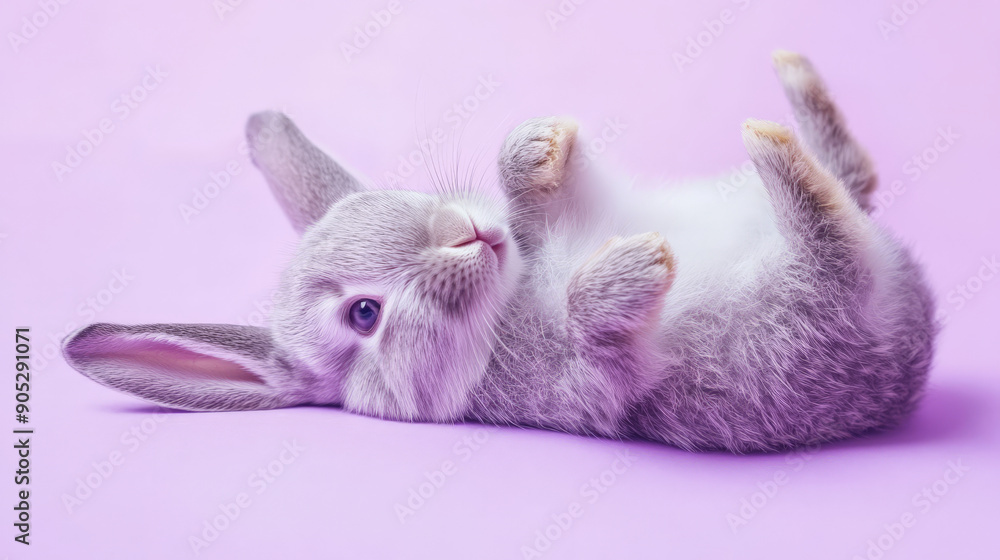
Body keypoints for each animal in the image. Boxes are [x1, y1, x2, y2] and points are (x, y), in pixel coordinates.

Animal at [63, 51, 936, 452]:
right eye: (366, 315)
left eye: (392, 203)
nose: (463, 233)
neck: (506, 297)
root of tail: (914, 331)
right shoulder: (582, 383)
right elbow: (594, 333)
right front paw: (636, 269)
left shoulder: (556, 223)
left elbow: (542, 196)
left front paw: (538, 144)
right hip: (809, 313)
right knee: (825, 229)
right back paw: (775, 152)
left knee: (851, 180)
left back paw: (790, 97)